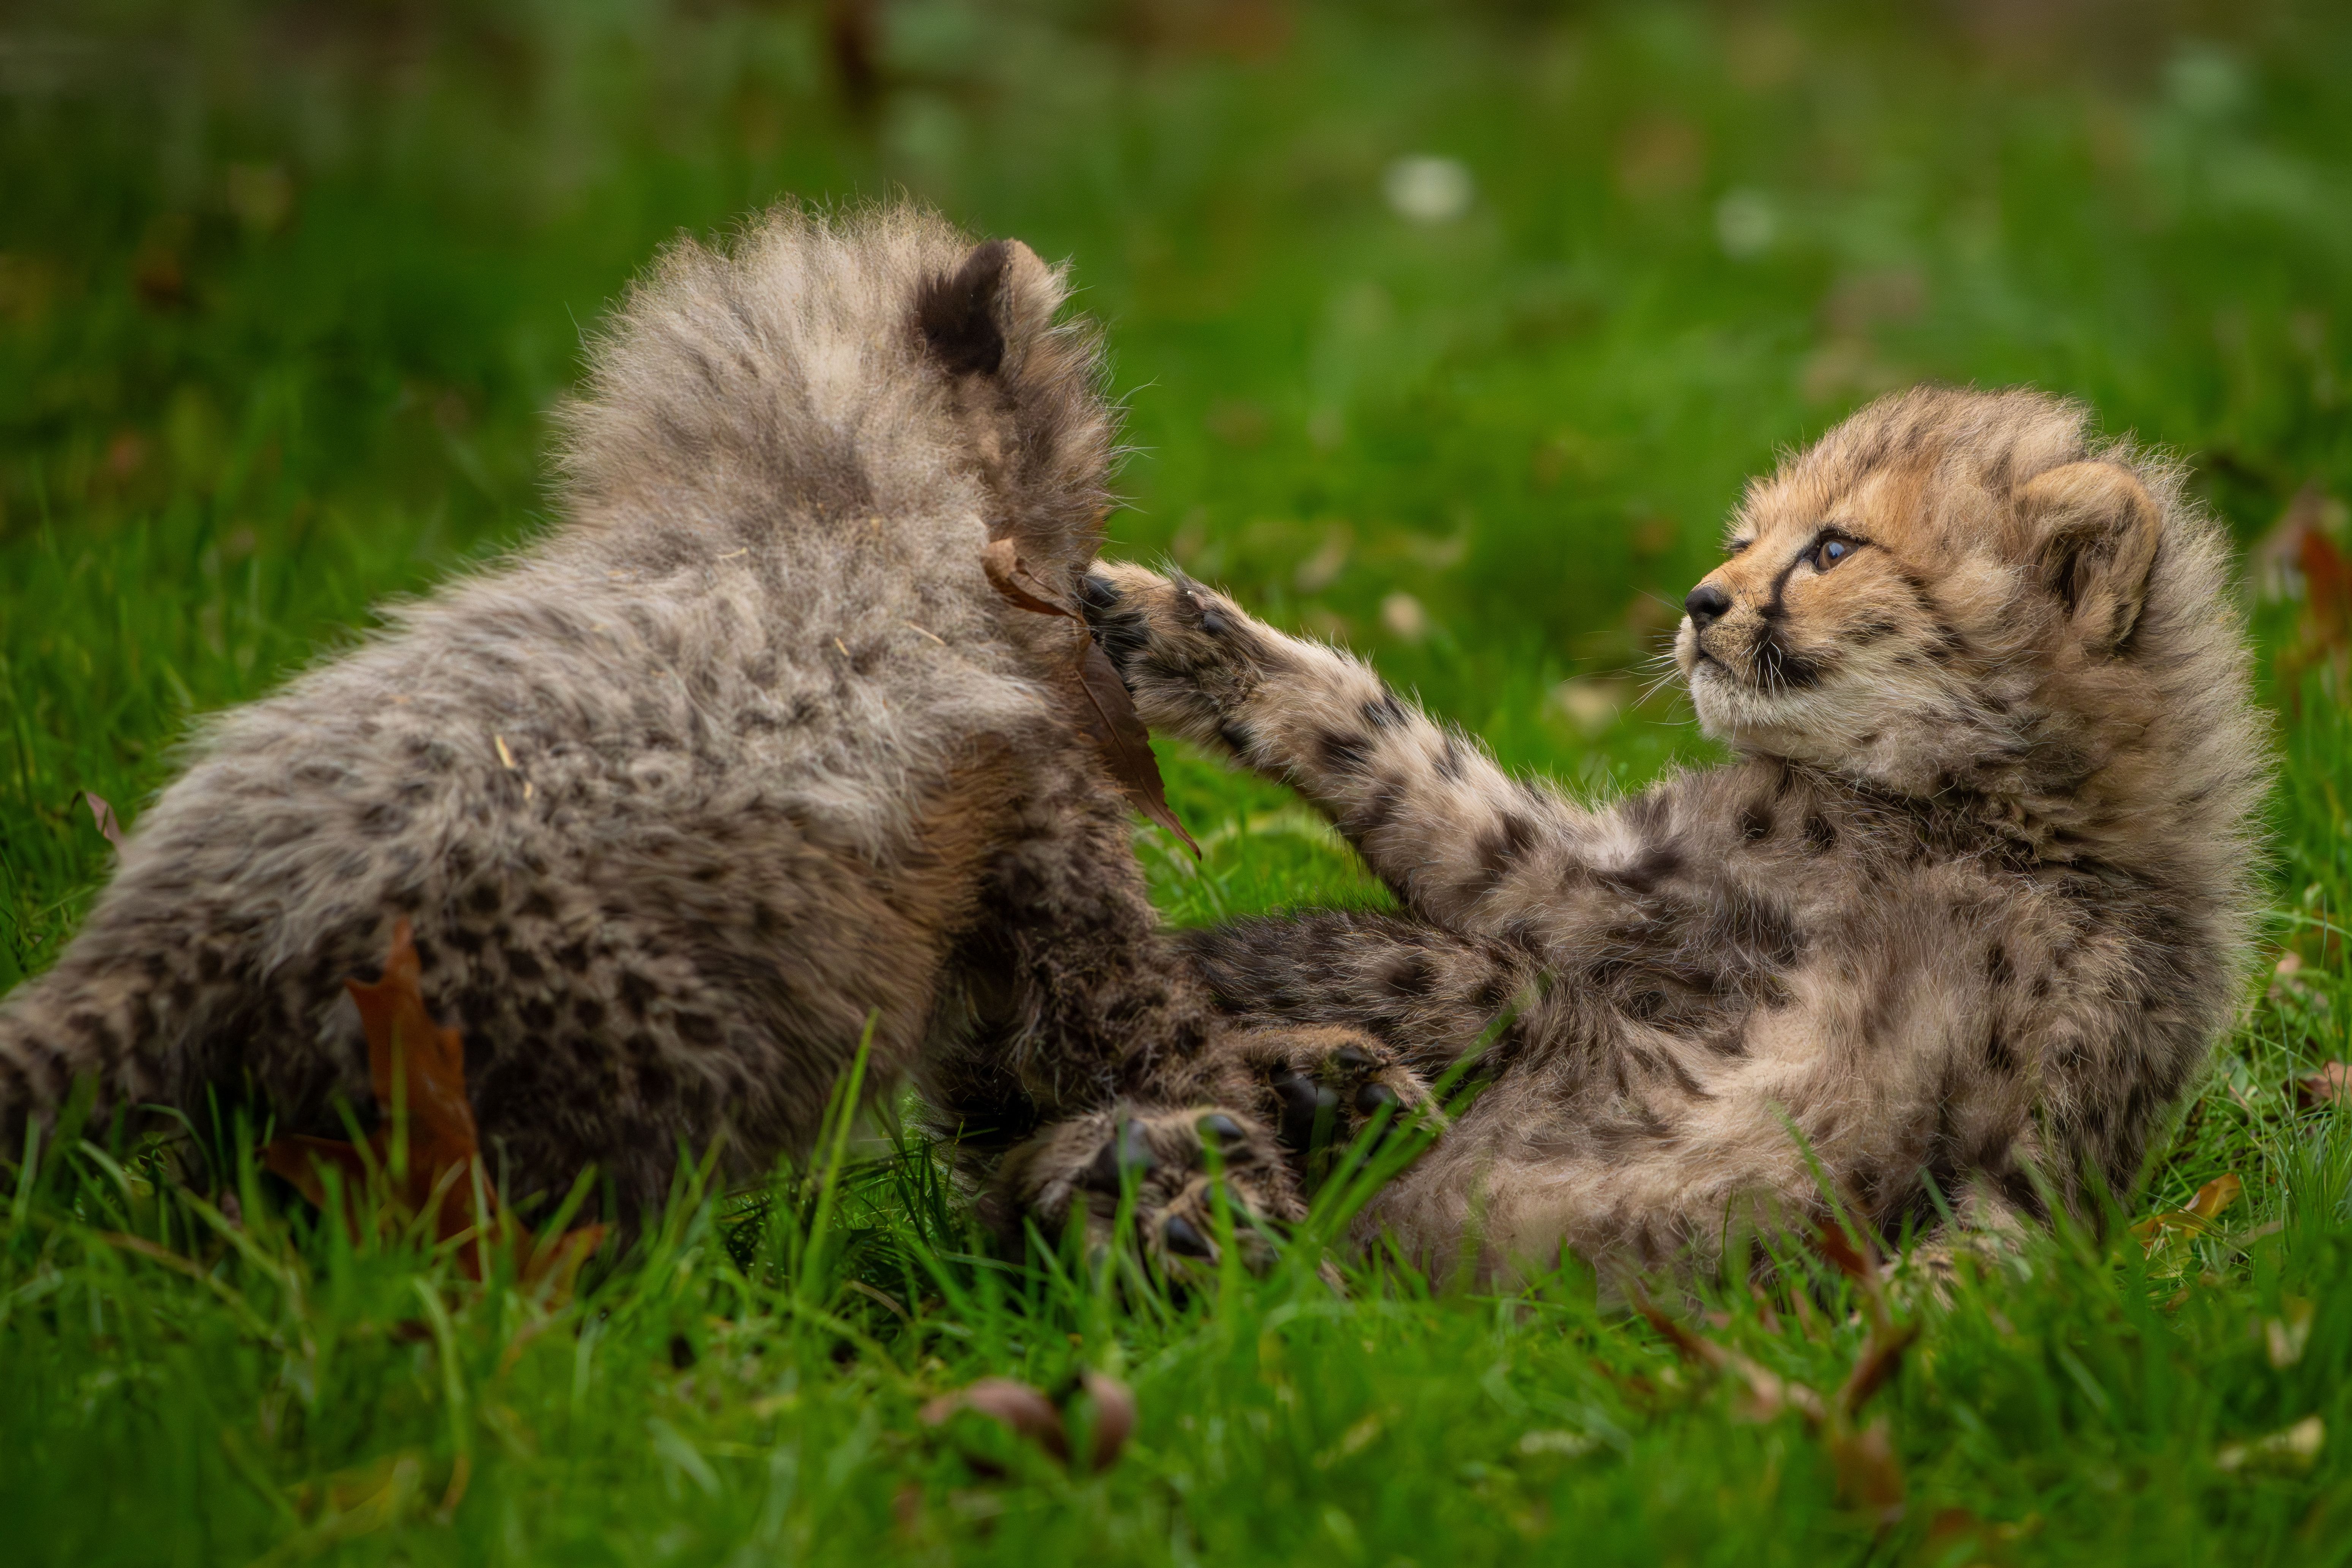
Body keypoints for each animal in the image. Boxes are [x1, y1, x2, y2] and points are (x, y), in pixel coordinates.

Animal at [0, 202, 1407, 1256]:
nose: (1093, 580)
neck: (817, 498)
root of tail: (178, 914)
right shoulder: (1038, 848)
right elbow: (1144, 1035)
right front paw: (1272, 1210)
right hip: (583, 1070)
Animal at [1043, 385, 2270, 1284]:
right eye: (1745, 537)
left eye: (1832, 549)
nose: (1700, 601)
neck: (1972, 821)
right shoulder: (1596, 897)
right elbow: (1407, 762)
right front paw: (1172, 638)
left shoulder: (2065, 1128)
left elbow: (1994, 1250)